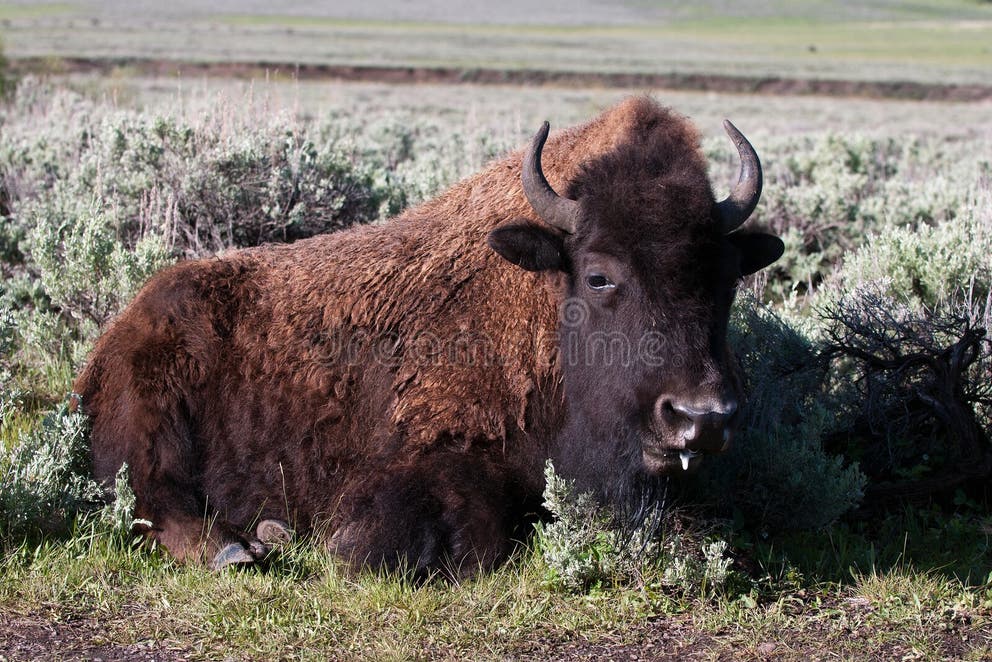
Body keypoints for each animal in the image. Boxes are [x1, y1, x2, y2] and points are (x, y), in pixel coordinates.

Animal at [72, 97, 784, 576]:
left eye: (727, 279)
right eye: (600, 275)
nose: (700, 417)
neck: (542, 295)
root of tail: (116, 336)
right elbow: (462, 535)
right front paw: (338, 545)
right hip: (154, 425)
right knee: (155, 500)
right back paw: (238, 547)